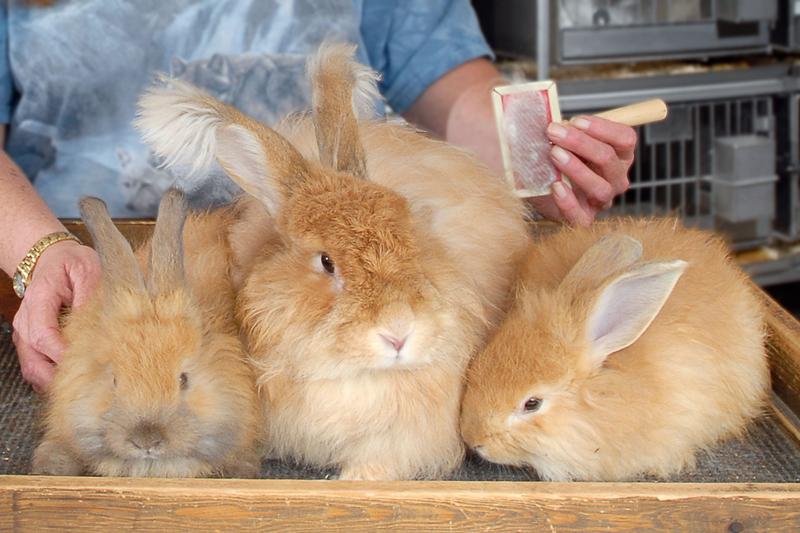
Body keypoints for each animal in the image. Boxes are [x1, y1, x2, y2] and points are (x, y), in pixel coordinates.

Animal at [134, 43, 531, 480]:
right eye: (326, 262)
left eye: (414, 237)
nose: (399, 332)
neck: (353, 377)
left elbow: (376, 462)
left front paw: (355, 478)